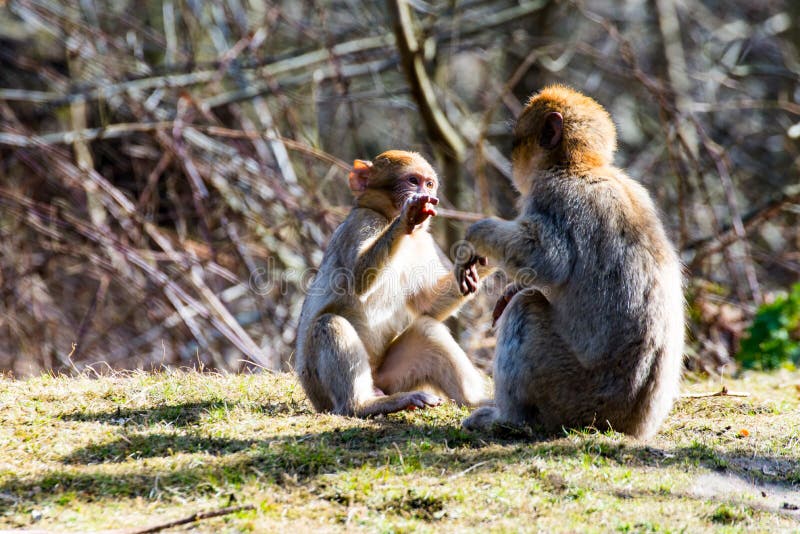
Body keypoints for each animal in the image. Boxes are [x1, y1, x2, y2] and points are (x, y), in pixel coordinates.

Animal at [294, 150, 490, 417]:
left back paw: (476, 402)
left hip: (391, 380)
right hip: (319, 388)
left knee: (427, 329)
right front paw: (407, 217)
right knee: (329, 323)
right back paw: (362, 405)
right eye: (413, 181)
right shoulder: (362, 223)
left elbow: (427, 305)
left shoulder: (422, 242)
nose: (428, 196)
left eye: (429, 183)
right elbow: (358, 279)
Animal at [455, 86, 684, 439]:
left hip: (572, 393)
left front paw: (477, 235)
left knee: (526, 308)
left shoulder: (554, 194)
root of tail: (629, 422)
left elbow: (549, 261)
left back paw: (508, 419)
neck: (580, 167)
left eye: (517, 141)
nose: (511, 158)